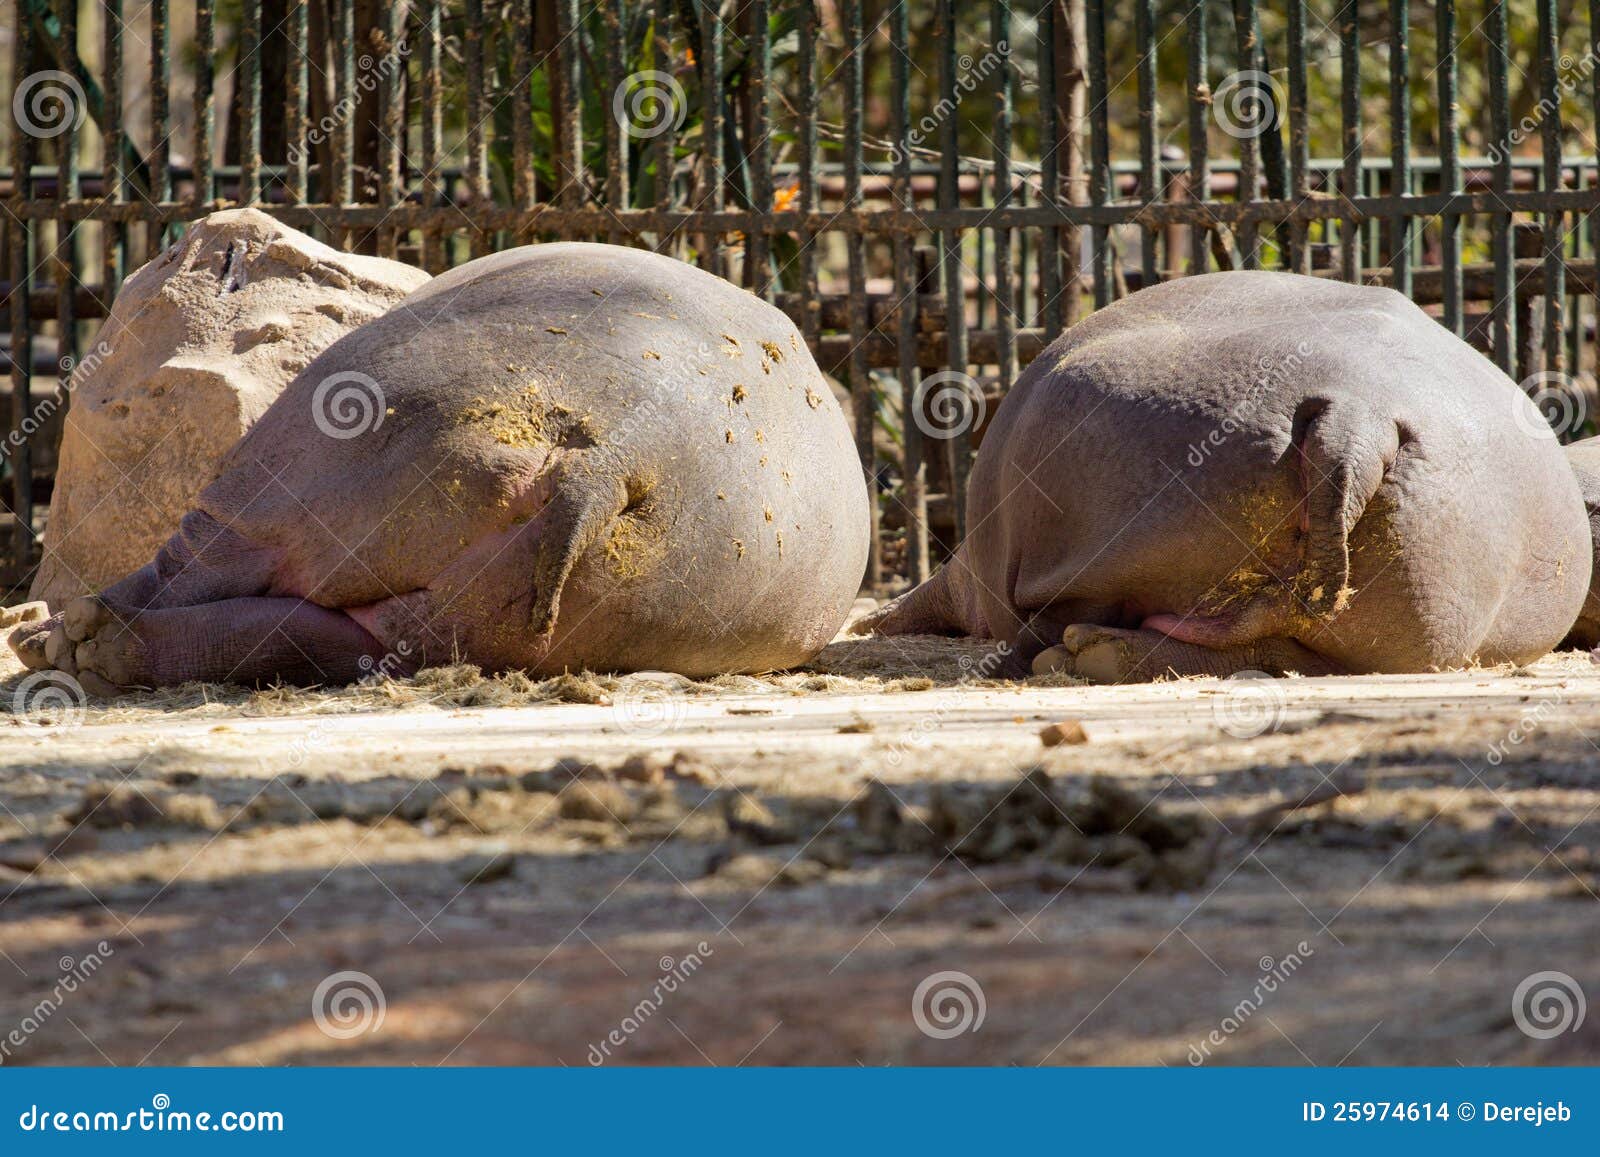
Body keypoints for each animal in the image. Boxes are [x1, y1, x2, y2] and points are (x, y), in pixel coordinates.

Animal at [11, 242, 869, 693]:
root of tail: (620, 458)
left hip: (274, 481)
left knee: (189, 572)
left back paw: (59, 640)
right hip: (475, 614)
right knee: (305, 637)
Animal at [861, 271, 1591, 682]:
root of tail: (1361, 418)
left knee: (1043, 619)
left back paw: (1066, 658)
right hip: (1414, 619)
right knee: (1269, 650)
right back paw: (1093, 658)